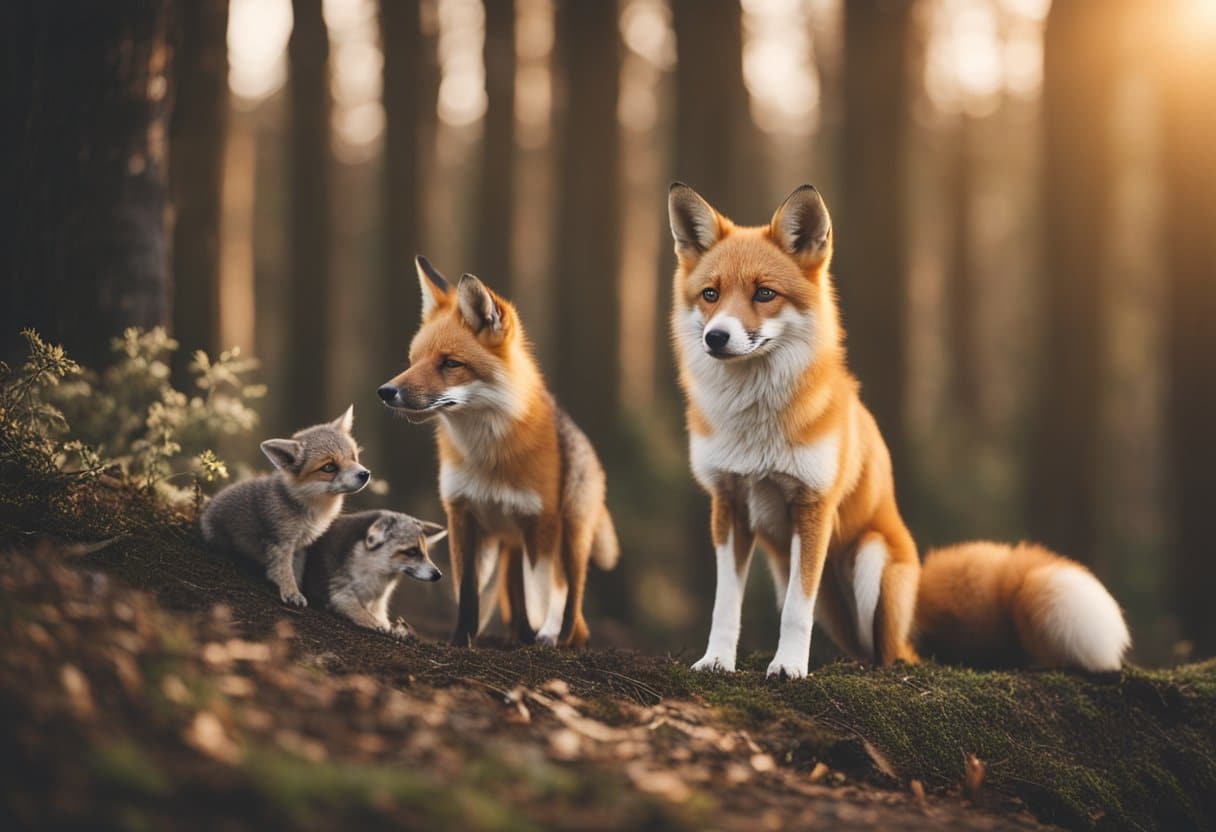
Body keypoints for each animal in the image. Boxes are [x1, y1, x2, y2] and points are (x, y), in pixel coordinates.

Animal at [200, 406, 370, 607]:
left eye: (353, 457)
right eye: (329, 467)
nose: (365, 474)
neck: (310, 510)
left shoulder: (300, 547)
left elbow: (296, 572)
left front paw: (297, 589)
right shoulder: (280, 542)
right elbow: (284, 572)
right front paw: (291, 592)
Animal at [377, 257, 619, 648]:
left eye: (450, 363)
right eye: (413, 360)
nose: (385, 392)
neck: (486, 457)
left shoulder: (540, 521)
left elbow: (545, 592)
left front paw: (545, 638)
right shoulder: (463, 515)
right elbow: (467, 592)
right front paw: (461, 641)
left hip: (571, 535)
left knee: (570, 602)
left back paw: (559, 640)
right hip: (509, 545)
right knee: (518, 602)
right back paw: (519, 636)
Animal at [669, 182, 1130, 677]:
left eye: (764, 293)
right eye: (711, 294)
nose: (716, 337)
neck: (753, 426)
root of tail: (916, 592)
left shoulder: (814, 505)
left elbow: (795, 611)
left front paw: (789, 667)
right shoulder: (728, 503)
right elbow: (725, 606)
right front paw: (717, 660)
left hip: (872, 558)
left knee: (892, 652)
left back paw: (873, 667)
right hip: (821, 597)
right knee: (863, 644)